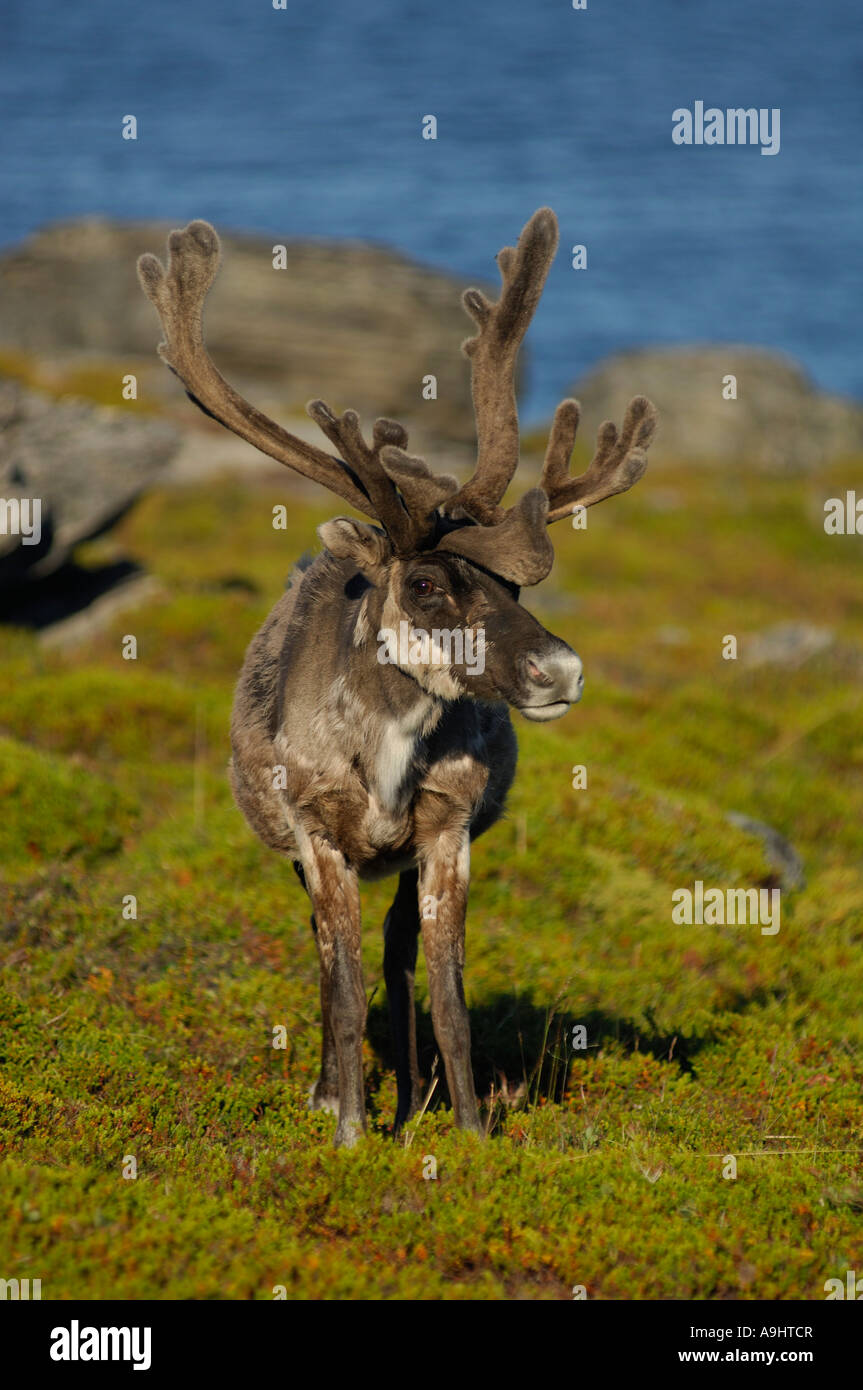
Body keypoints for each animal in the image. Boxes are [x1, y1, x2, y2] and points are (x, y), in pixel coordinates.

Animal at [137, 208, 657, 1148]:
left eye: (515, 586)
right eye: (422, 584)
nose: (560, 667)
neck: (386, 755)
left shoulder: (447, 834)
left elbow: (447, 995)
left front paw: (471, 1134)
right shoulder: (318, 835)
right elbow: (341, 990)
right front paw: (347, 1131)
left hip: (407, 861)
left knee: (397, 957)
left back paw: (413, 1097)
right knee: (325, 952)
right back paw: (328, 1093)